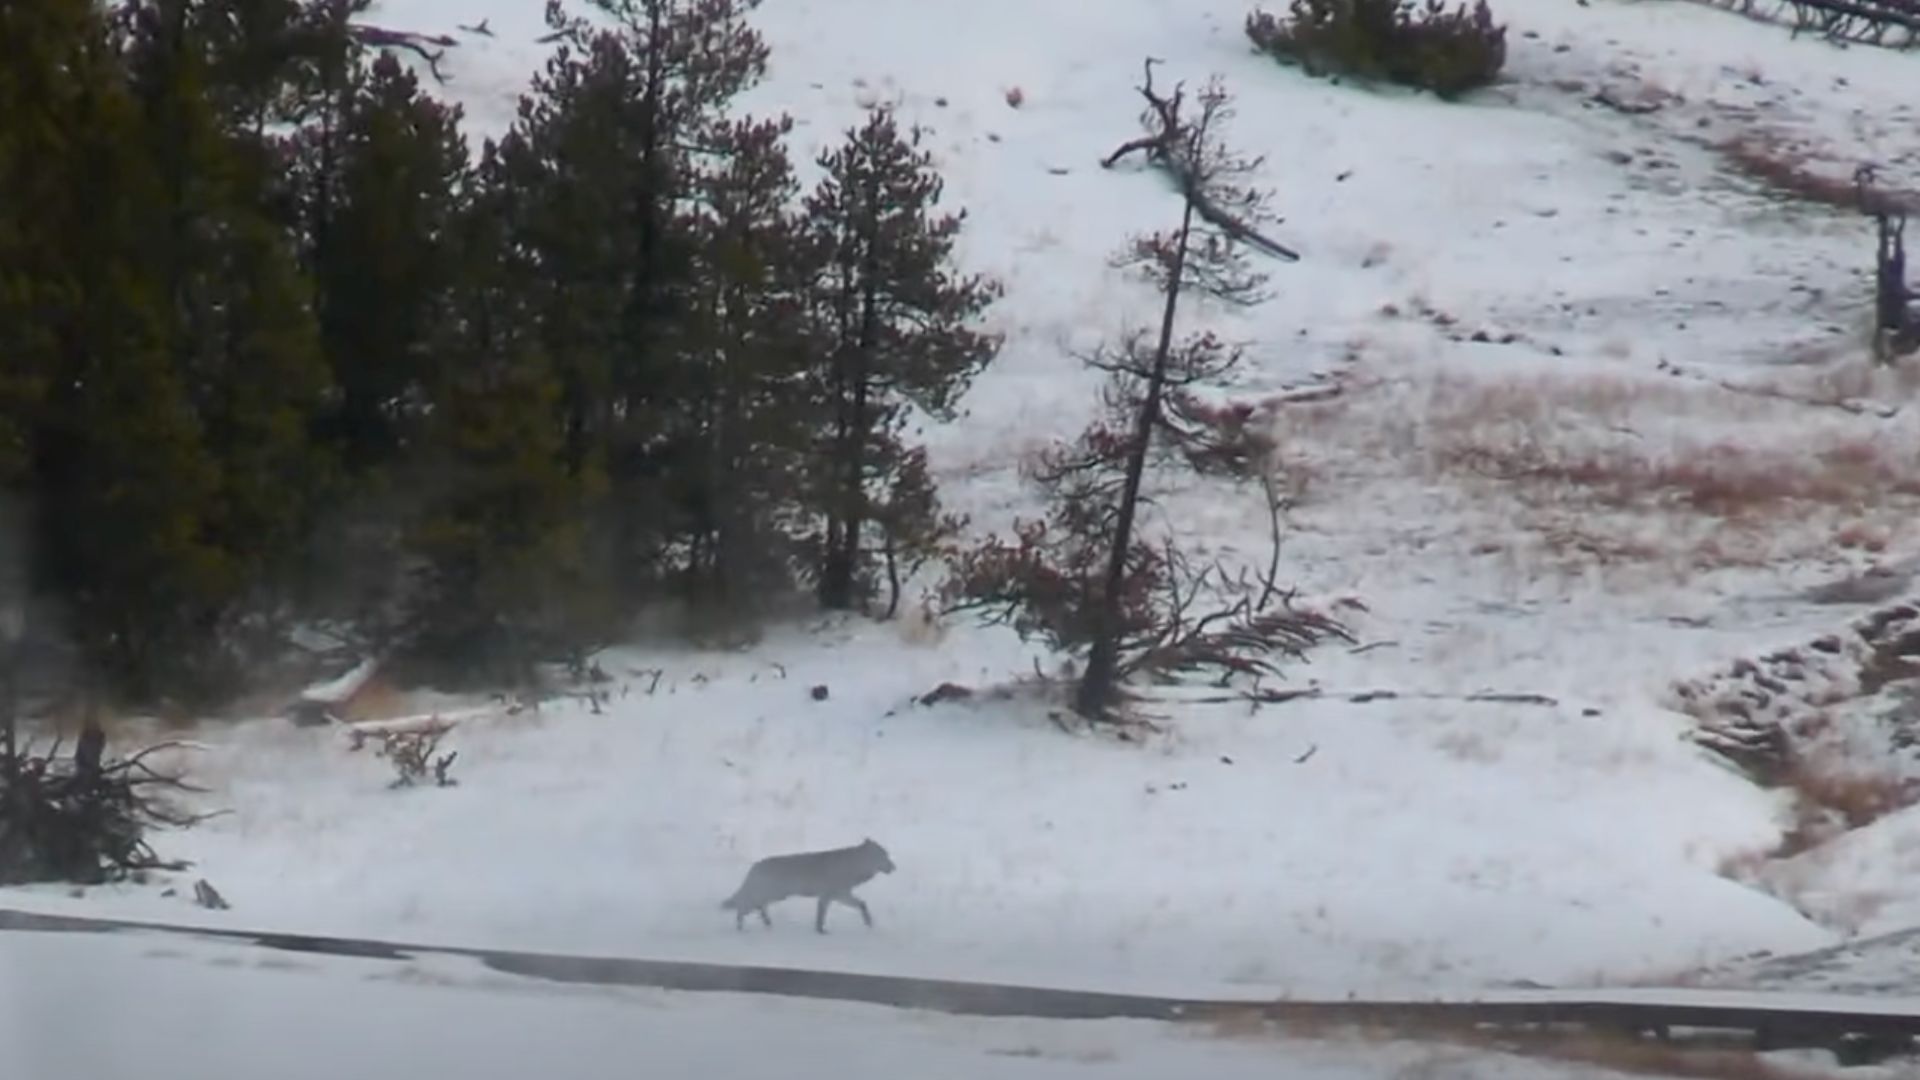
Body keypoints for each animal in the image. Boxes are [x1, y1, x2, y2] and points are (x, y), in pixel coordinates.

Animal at [720, 838, 895, 933]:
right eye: (883, 856)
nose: (894, 867)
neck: (853, 865)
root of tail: (755, 865)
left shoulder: (839, 896)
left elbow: (862, 905)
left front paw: (869, 923)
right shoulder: (830, 896)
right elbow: (821, 917)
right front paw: (820, 932)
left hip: (774, 896)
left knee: (757, 907)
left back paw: (767, 924)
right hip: (770, 895)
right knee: (743, 907)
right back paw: (741, 927)